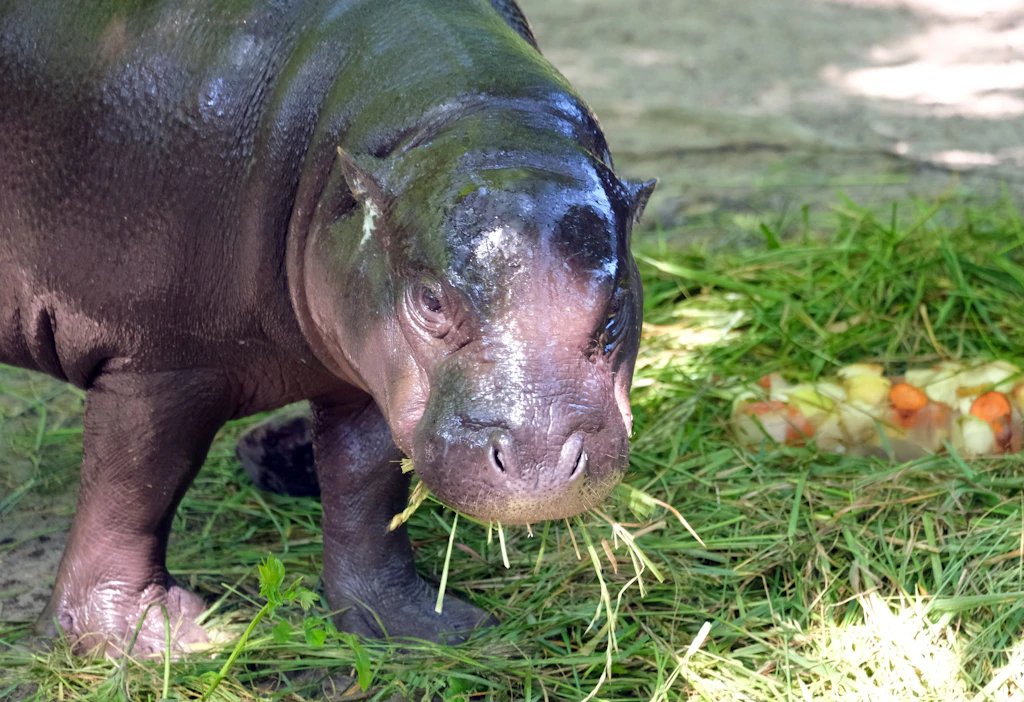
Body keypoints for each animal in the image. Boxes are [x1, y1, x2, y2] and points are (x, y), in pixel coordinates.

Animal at [0, 0, 654, 654]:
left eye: (615, 312)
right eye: (430, 301)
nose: (539, 462)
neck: (473, 119)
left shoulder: (368, 380)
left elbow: (366, 489)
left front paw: (415, 628)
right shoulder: (156, 362)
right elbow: (135, 488)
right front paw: (165, 640)